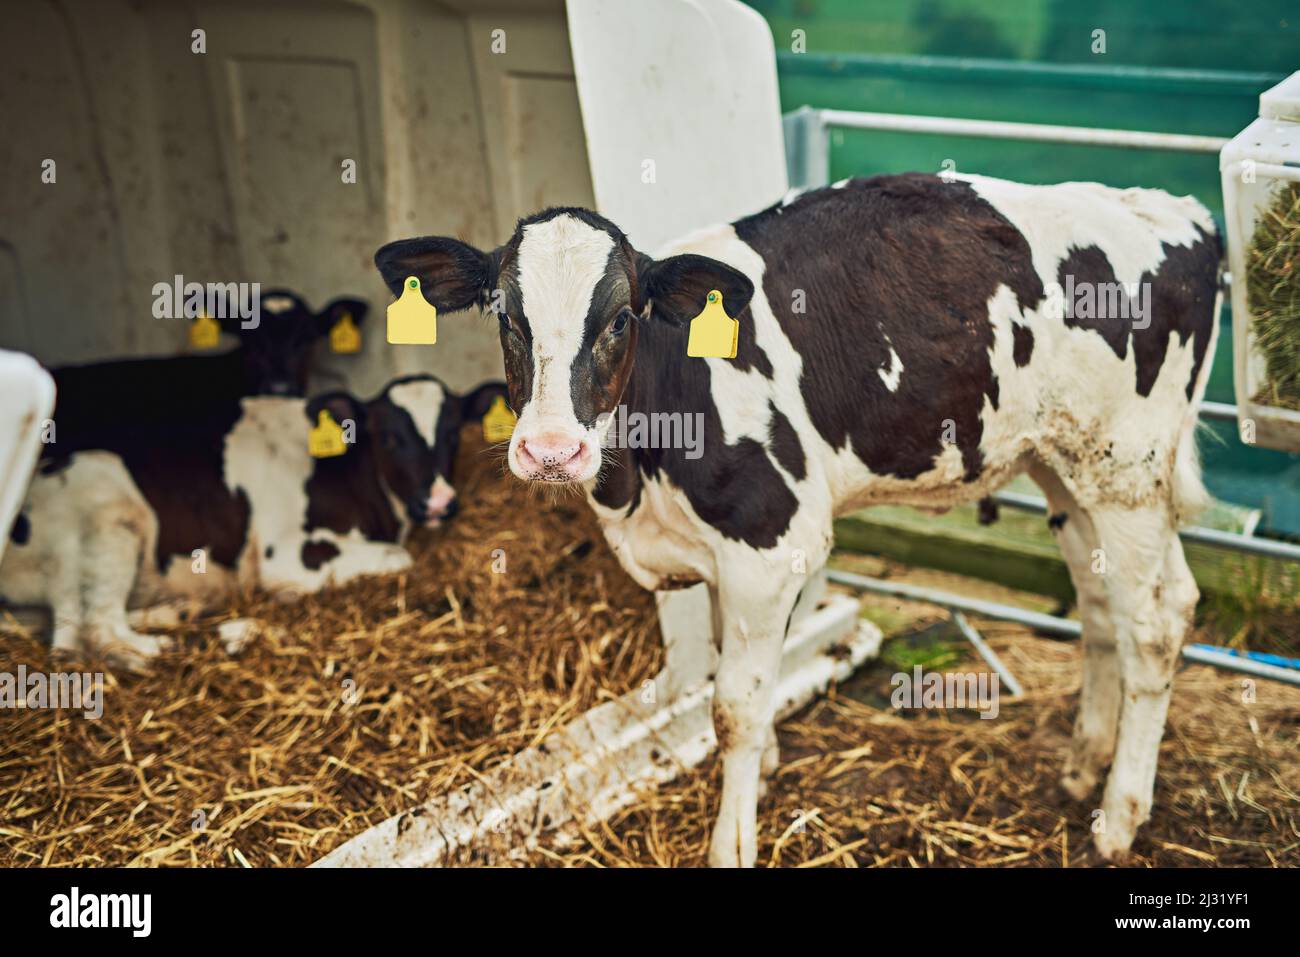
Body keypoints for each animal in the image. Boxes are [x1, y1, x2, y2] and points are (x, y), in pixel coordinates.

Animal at [0, 374, 506, 668]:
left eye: (451, 432)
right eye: (389, 437)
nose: (438, 502)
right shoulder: (285, 552)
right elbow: (400, 556)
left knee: (73, 636)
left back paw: (181, 613)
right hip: (110, 517)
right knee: (96, 630)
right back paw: (207, 639)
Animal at [374, 172, 1222, 866]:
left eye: (620, 318)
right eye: (504, 317)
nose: (552, 449)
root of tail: (1172, 211)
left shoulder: (766, 536)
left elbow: (735, 707)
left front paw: (733, 838)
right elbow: (735, 673)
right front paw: (767, 769)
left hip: (1127, 468)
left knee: (1157, 622)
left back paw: (1119, 816)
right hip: (1066, 463)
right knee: (1105, 603)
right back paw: (1083, 766)